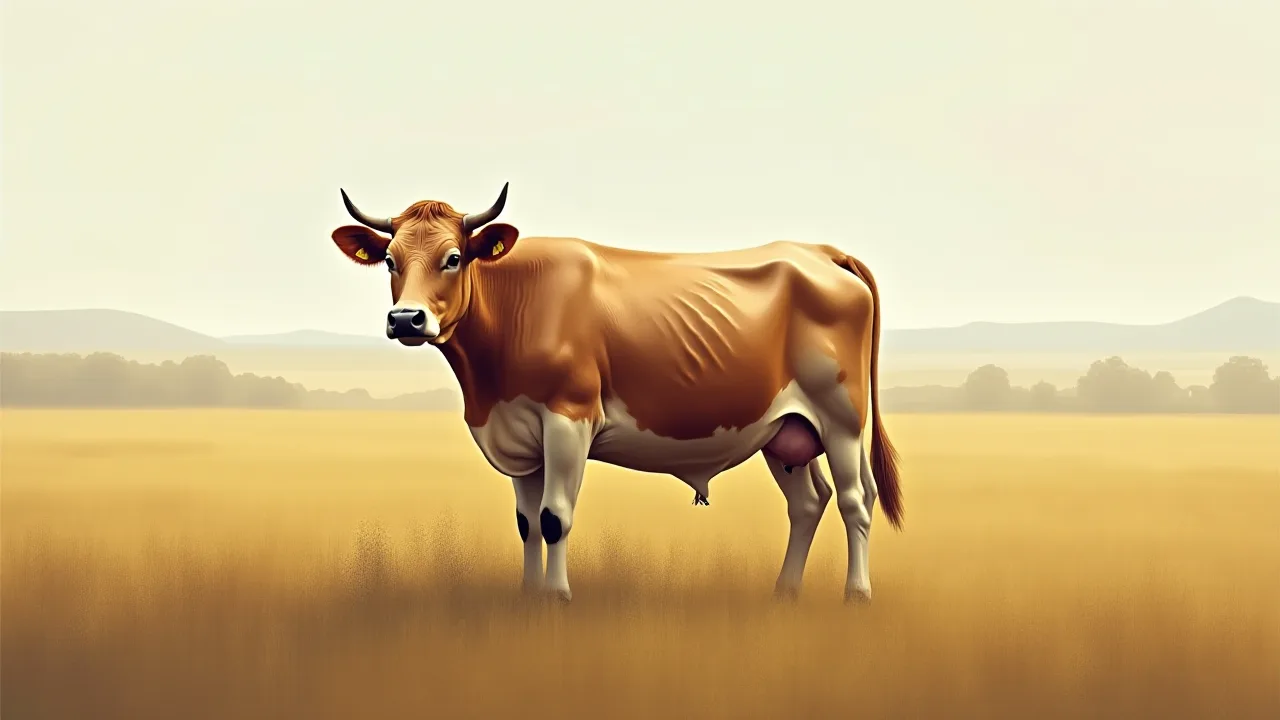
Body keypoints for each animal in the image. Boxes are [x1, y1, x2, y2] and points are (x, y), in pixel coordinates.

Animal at [329, 183, 903, 603]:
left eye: (452, 258)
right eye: (389, 261)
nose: (406, 319)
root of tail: (820, 252)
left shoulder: (569, 418)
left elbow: (554, 517)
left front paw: (557, 599)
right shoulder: (519, 435)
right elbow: (526, 524)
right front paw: (528, 597)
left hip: (841, 417)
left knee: (856, 499)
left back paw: (856, 595)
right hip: (783, 431)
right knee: (809, 502)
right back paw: (784, 593)